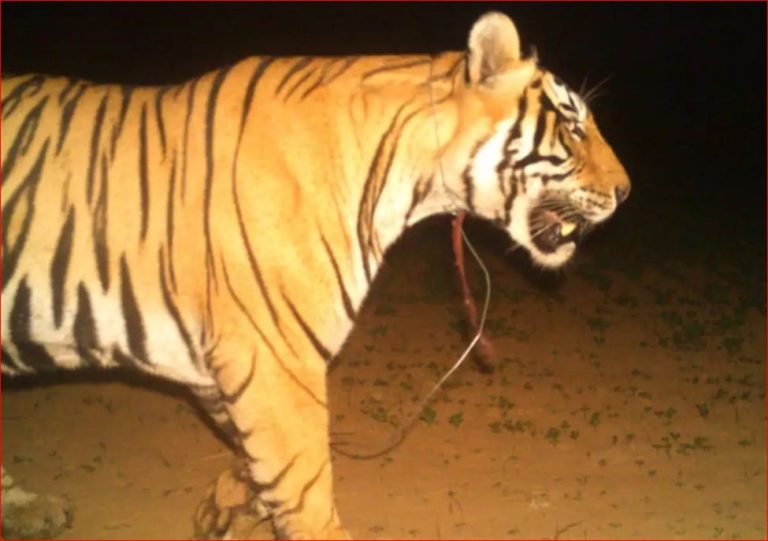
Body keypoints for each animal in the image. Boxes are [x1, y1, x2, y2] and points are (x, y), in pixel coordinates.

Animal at [1, 11, 630, 540]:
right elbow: (305, 491)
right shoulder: (275, 363)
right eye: (574, 129)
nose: (626, 191)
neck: (408, 182)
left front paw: (227, 504)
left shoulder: (225, 366)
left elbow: (252, 460)